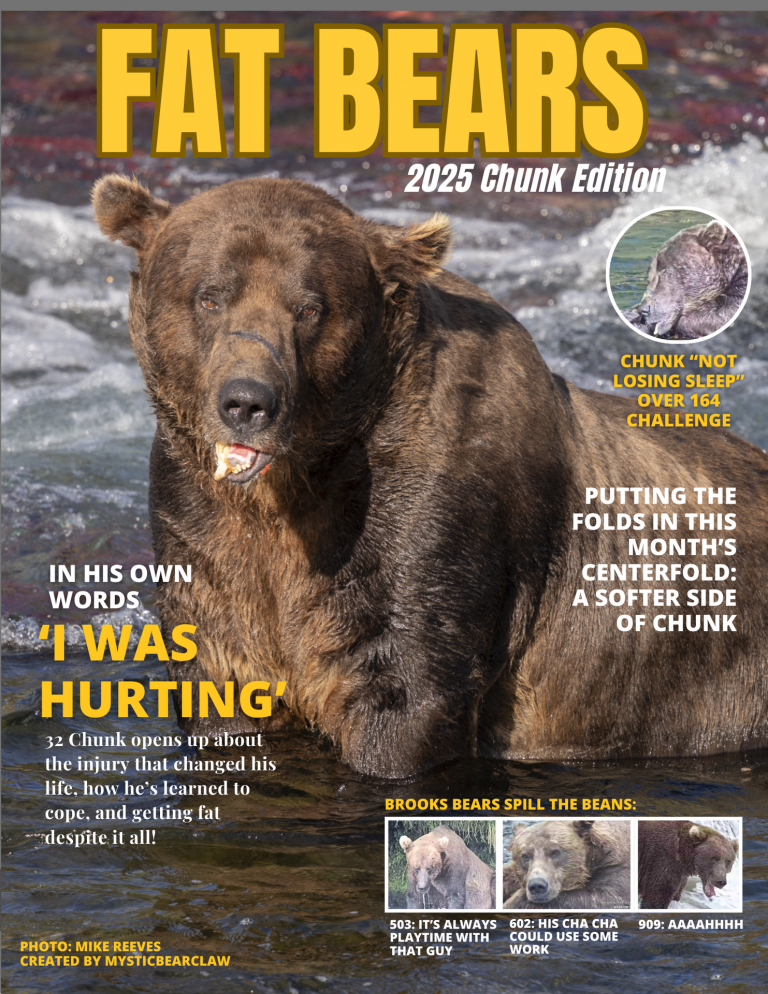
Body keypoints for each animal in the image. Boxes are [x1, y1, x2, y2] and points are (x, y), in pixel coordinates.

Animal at [92, 174, 768, 778]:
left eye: (309, 307)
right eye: (209, 295)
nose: (248, 401)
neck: (297, 482)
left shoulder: (433, 507)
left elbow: (404, 691)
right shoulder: (200, 525)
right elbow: (223, 673)